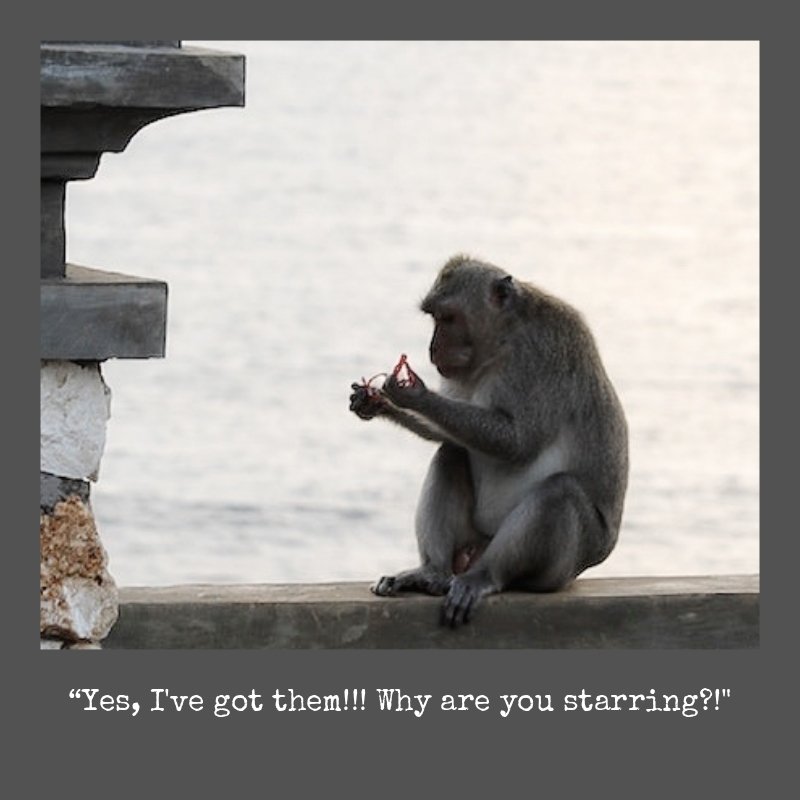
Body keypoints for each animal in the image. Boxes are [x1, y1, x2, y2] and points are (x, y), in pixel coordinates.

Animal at [349, 255, 628, 627]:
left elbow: (518, 443)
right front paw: (375, 402)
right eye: (434, 317)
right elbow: (444, 433)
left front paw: (414, 394)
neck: (502, 341)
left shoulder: (540, 355)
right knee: (451, 451)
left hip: (564, 565)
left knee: (560, 493)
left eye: (448, 318)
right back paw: (432, 572)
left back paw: (486, 577)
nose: (433, 348)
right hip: (472, 542)